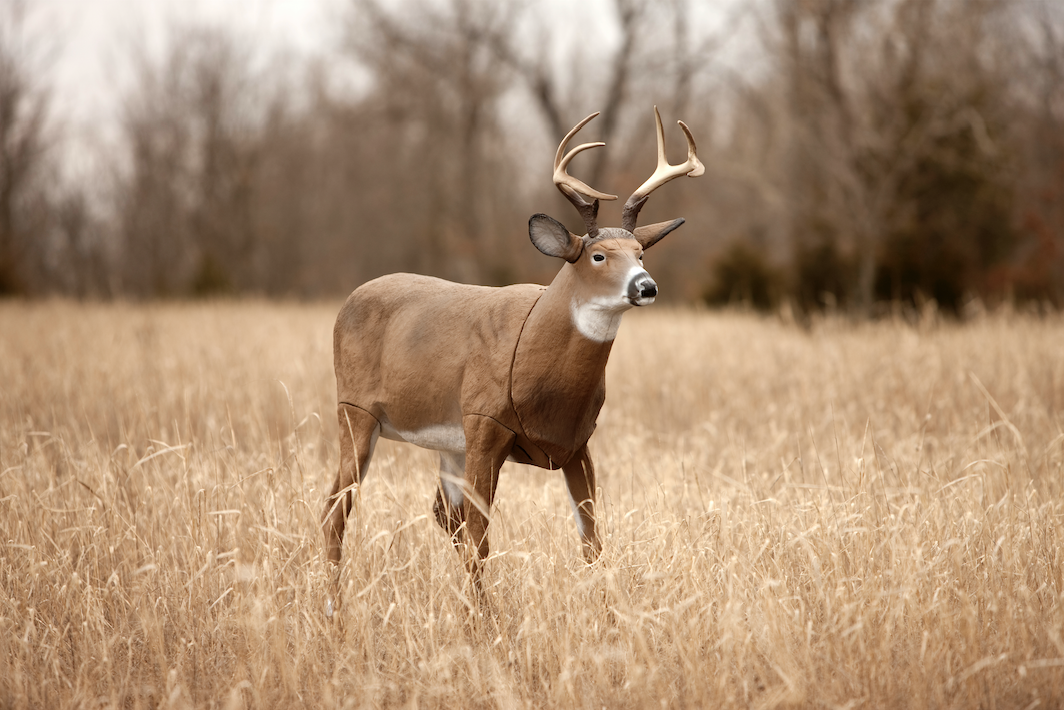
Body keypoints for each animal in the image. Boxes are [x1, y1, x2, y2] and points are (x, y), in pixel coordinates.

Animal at [322, 107, 703, 606]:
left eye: (640, 252)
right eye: (598, 256)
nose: (646, 286)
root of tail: (348, 301)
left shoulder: (577, 443)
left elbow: (592, 538)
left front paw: (605, 609)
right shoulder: (486, 424)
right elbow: (482, 536)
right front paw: (483, 617)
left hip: (448, 443)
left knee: (439, 514)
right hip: (356, 410)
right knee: (337, 508)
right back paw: (332, 607)